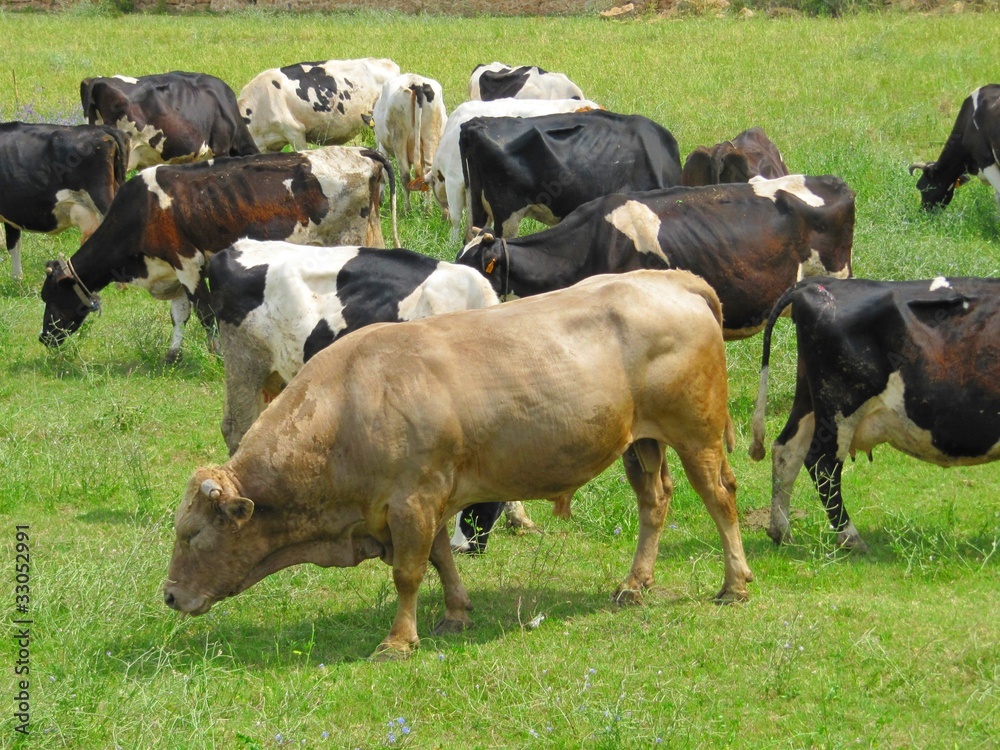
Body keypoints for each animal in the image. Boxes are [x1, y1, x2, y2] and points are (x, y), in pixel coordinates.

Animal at [39, 147, 398, 362]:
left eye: (50, 297)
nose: (44, 338)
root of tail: (361, 150)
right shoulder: (172, 268)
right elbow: (179, 313)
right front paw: (173, 354)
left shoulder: (188, 262)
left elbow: (205, 312)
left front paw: (218, 354)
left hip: (349, 239)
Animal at [163, 270, 754, 660]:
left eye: (193, 535)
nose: (168, 595)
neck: (350, 403)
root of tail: (670, 279)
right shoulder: (429, 501)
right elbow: (442, 558)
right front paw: (455, 613)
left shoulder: (412, 501)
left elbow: (408, 572)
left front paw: (399, 640)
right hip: (641, 443)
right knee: (655, 503)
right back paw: (635, 584)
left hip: (696, 436)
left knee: (720, 499)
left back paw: (735, 584)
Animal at [371, 74, 447, 212]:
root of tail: (416, 82)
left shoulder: (382, 145)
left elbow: (384, 173)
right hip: (430, 138)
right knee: (427, 172)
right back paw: (427, 209)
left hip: (399, 139)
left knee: (405, 175)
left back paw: (407, 209)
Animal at [748, 276, 1000, 552]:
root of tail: (818, 283)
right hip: (839, 404)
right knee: (821, 463)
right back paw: (850, 538)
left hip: (810, 401)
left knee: (786, 452)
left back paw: (782, 532)